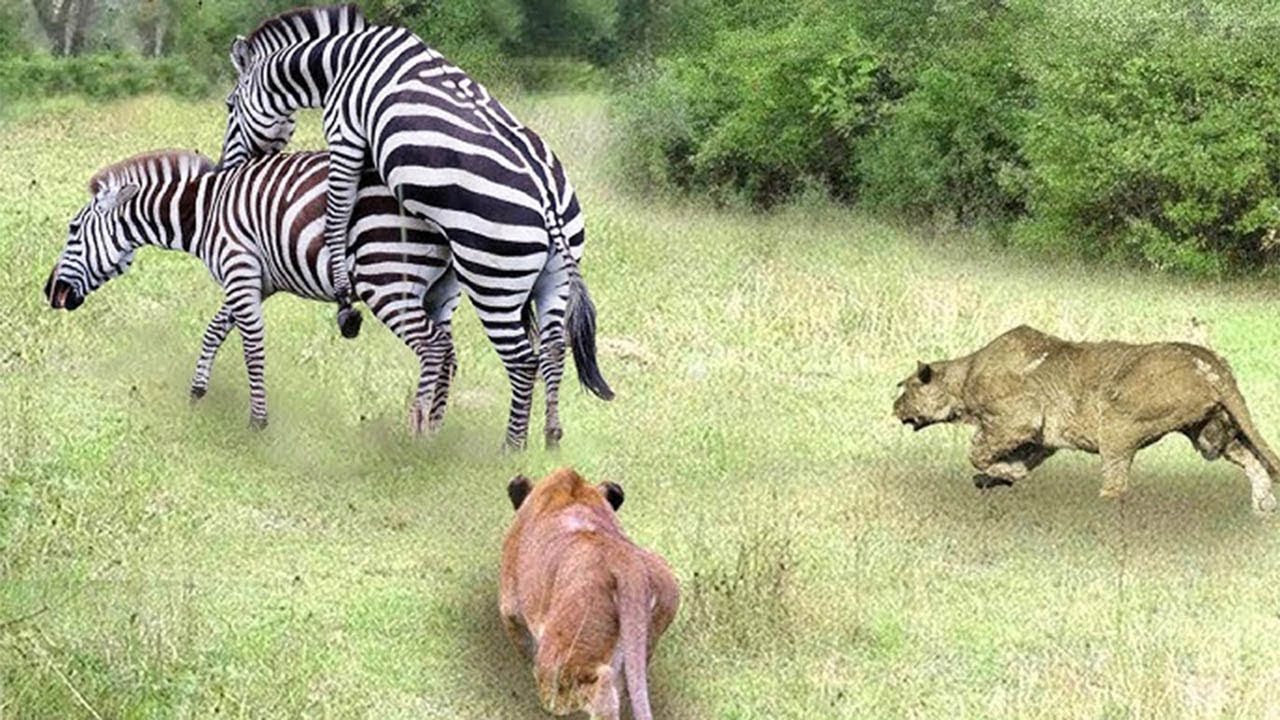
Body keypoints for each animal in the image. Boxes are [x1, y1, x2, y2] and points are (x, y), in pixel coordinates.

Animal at [44, 149, 460, 433]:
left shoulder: (239, 269)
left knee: (433, 346)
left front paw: (258, 421)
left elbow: (252, 347)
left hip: (386, 280)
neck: (205, 212)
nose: (50, 292)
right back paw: (434, 433)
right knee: (449, 353)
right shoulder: (255, 282)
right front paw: (196, 393)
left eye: (73, 230)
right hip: (438, 292)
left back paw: (415, 431)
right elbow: (214, 330)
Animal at [217, 4, 613, 450]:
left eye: (230, 106)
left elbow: (337, 212)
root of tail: (549, 201)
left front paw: (342, 294)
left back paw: (511, 449)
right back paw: (551, 438)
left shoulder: (345, 133)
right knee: (553, 349)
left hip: (492, 279)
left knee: (522, 361)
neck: (339, 60)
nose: (226, 167)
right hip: (555, 277)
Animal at [500, 468, 680, 720]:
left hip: (559, 654)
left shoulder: (511, 608)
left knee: (590, 689)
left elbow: (523, 646)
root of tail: (625, 563)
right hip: (644, 639)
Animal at [893, 325, 1279, 513]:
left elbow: (978, 451)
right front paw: (1000, 477)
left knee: (1116, 483)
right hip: (1209, 434)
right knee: (1251, 460)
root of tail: (1212, 361)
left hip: (1117, 421)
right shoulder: (1041, 438)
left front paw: (998, 473)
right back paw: (1263, 506)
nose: (893, 407)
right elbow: (1019, 459)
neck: (964, 376)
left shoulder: (1021, 418)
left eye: (905, 388)